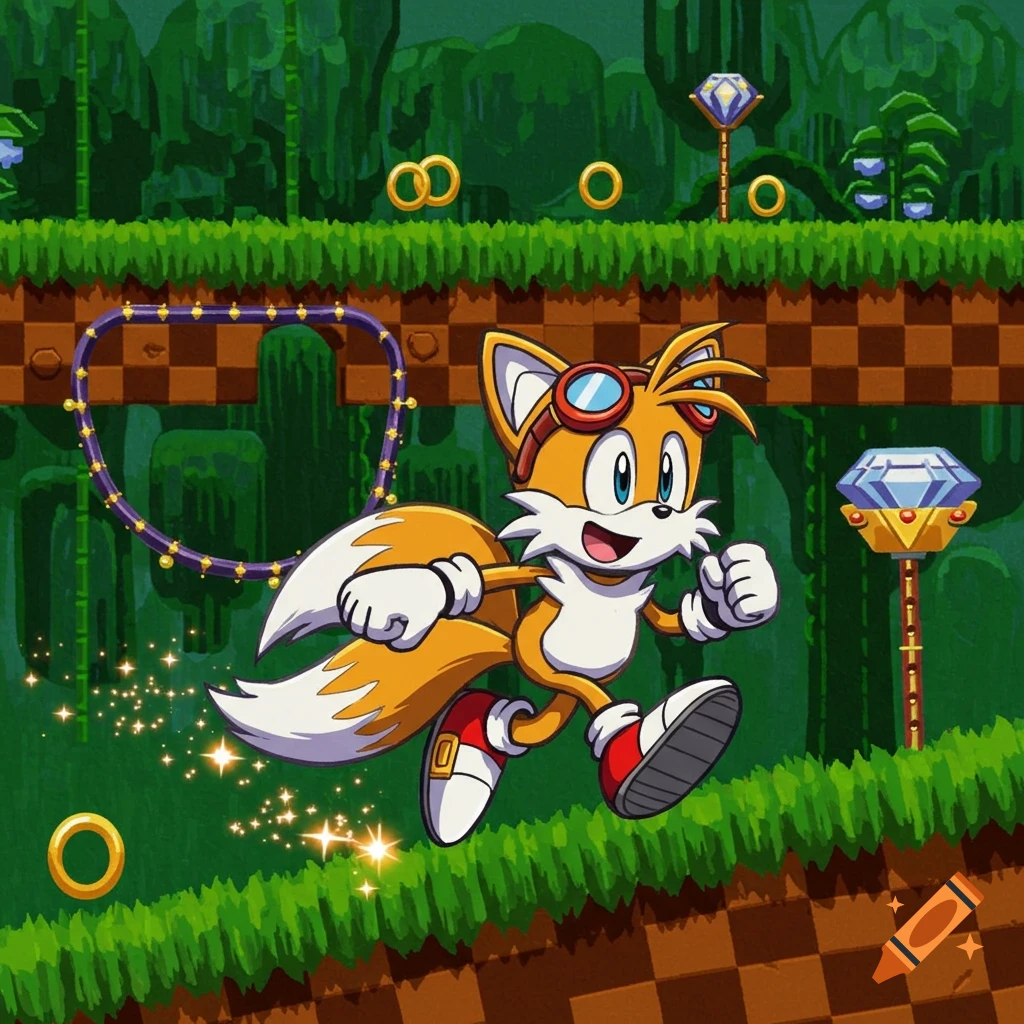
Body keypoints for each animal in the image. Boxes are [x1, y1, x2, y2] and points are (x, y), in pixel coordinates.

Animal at [206, 322, 781, 846]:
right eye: (619, 478)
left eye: (668, 480)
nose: (662, 511)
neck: (604, 586)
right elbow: (469, 583)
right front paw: (397, 594)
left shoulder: (644, 605)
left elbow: (680, 620)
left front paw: (743, 587)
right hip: (539, 658)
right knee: (570, 704)